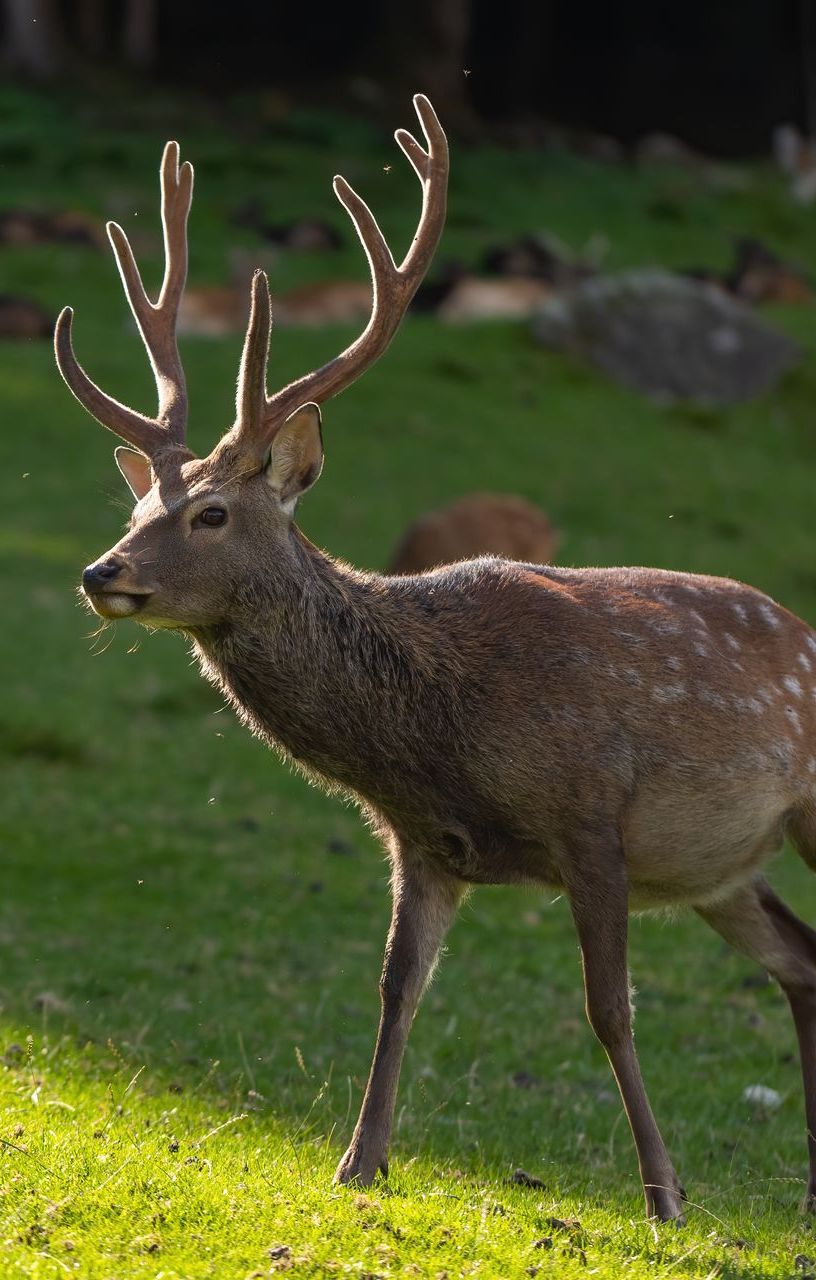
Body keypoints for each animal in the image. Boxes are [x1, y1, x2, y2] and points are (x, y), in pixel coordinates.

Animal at [54, 95, 816, 1224]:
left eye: (210, 511)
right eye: (138, 500)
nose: (103, 570)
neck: (444, 728)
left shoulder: (592, 810)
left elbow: (610, 1008)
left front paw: (665, 1195)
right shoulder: (423, 842)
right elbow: (396, 989)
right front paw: (359, 1159)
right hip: (721, 867)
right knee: (804, 959)